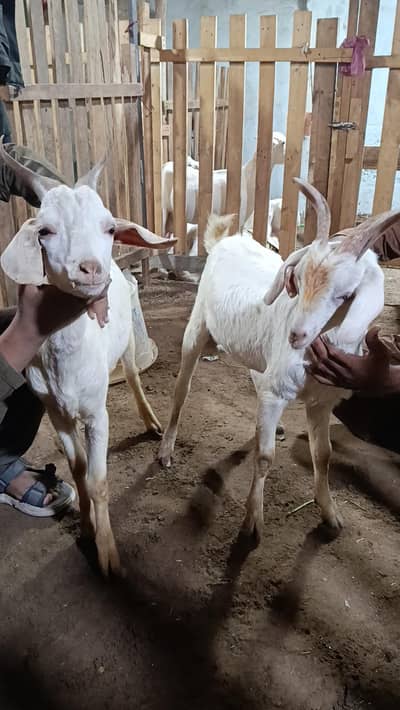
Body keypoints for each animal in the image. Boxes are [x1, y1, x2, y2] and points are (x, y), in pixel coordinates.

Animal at [0, 144, 175, 576]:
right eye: (44, 231)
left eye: (110, 228)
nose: (91, 268)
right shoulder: (56, 413)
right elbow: (79, 470)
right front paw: (85, 527)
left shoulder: (97, 413)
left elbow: (98, 480)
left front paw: (108, 554)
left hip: (127, 340)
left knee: (132, 374)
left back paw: (151, 421)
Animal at [158, 180, 400, 540]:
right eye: (297, 281)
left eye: (345, 295)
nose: (296, 335)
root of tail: (224, 241)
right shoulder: (277, 393)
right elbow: (265, 457)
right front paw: (252, 520)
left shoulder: (322, 401)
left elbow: (323, 455)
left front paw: (330, 513)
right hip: (197, 327)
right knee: (182, 389)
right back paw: (165, 450)